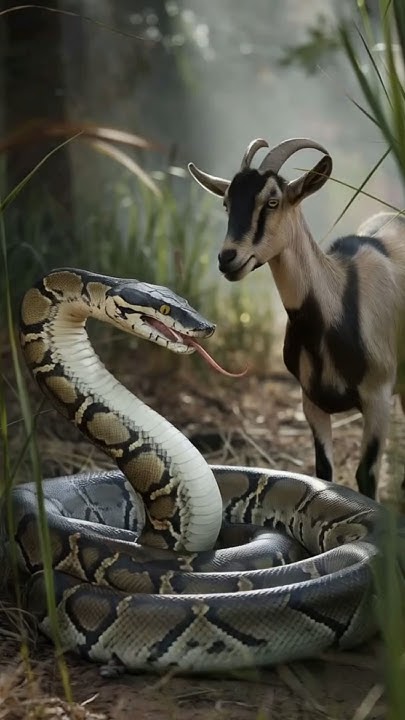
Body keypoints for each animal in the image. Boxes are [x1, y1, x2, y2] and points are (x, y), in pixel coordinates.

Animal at [188, 137, 405, 499]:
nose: (228, 258)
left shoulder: (378, 397)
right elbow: (324, 472)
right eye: (227, 202)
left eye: (272, 201)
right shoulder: (311, 401)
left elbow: (366, 476)